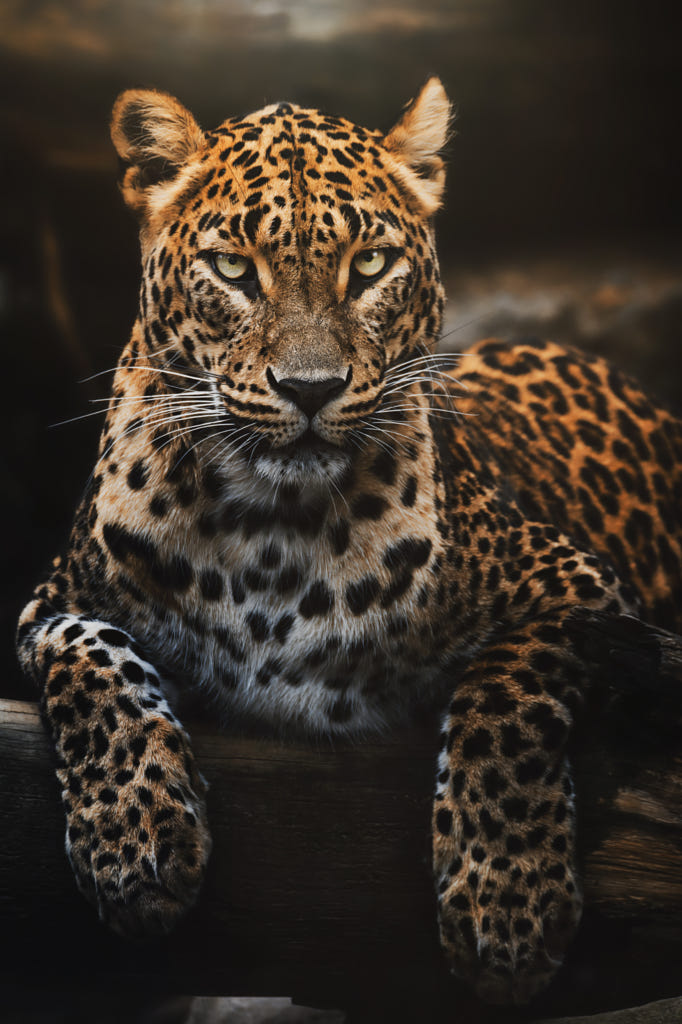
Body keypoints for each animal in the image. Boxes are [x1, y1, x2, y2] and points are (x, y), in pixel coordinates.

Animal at [16, 77, 682, 1006]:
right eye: (234, 269)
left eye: (369, 266)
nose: (309, 389)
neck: (270, 532)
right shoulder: (54, 602)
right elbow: (89, 658)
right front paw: (134, 841)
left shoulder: (584, 592)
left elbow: (505, 697)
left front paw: (505, 901)